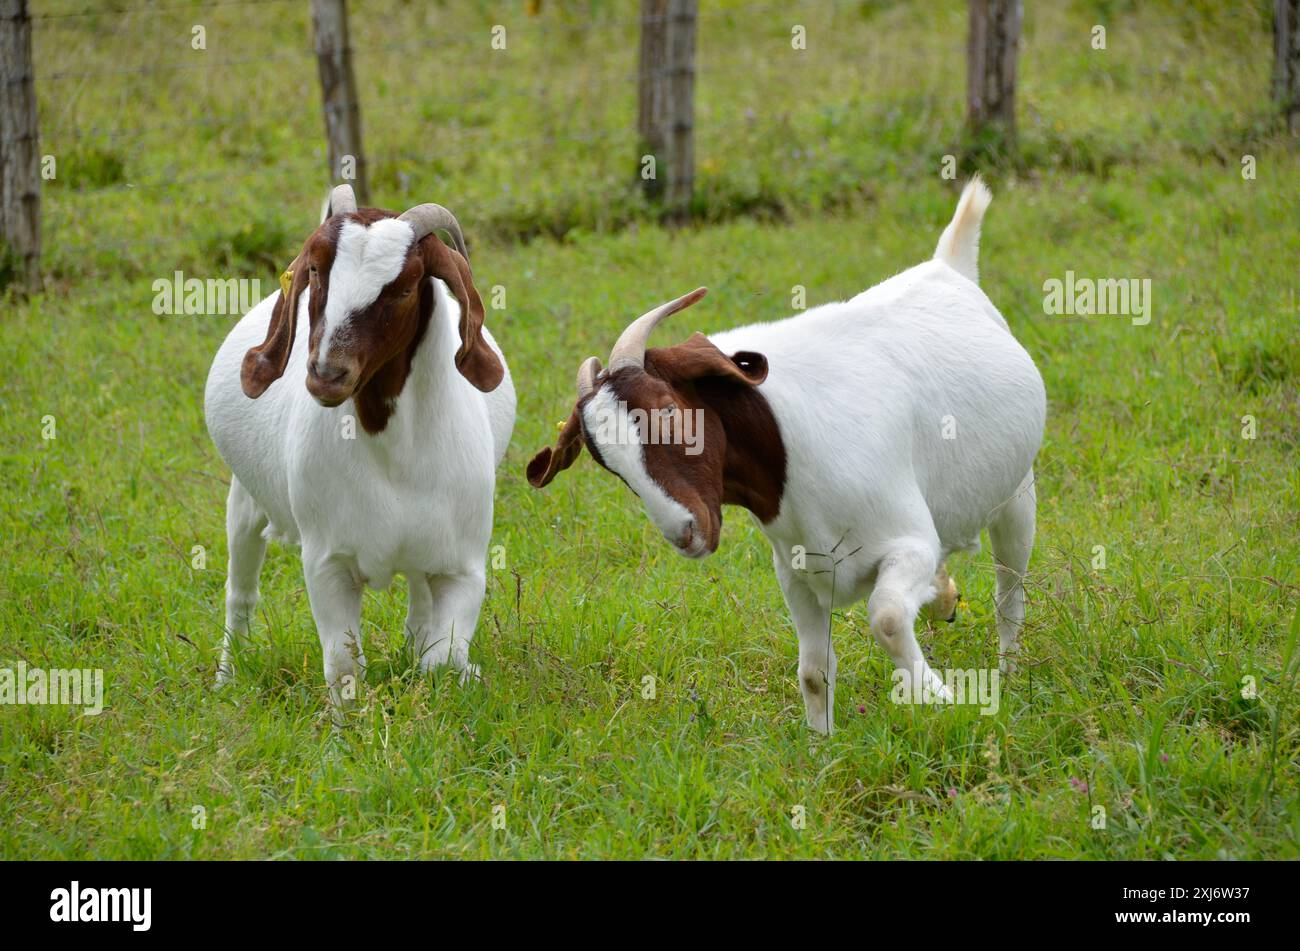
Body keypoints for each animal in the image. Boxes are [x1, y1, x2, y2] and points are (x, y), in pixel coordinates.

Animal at [204, 185, 515, 703]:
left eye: (405, 287)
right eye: (314, 271)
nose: (327, 373)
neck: (392, 456)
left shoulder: (462, 567)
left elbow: (443, 657)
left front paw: (446, 678)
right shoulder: (327, 562)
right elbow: (343, 664)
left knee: (419, 599)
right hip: (245, 501)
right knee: (240, 593)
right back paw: (227, 678)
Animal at [527, 179, 1044, 733]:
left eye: (667, 409)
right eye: (608, 463)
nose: (684, 533)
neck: (790, 453)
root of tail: (948, 266)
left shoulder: (909, 541)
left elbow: (885, 617)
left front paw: (942, 697)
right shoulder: (796, 571)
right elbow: (814, 671)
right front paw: (822, 742)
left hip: (1017, 498)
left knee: (1009, 595)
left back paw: (1009, 672)